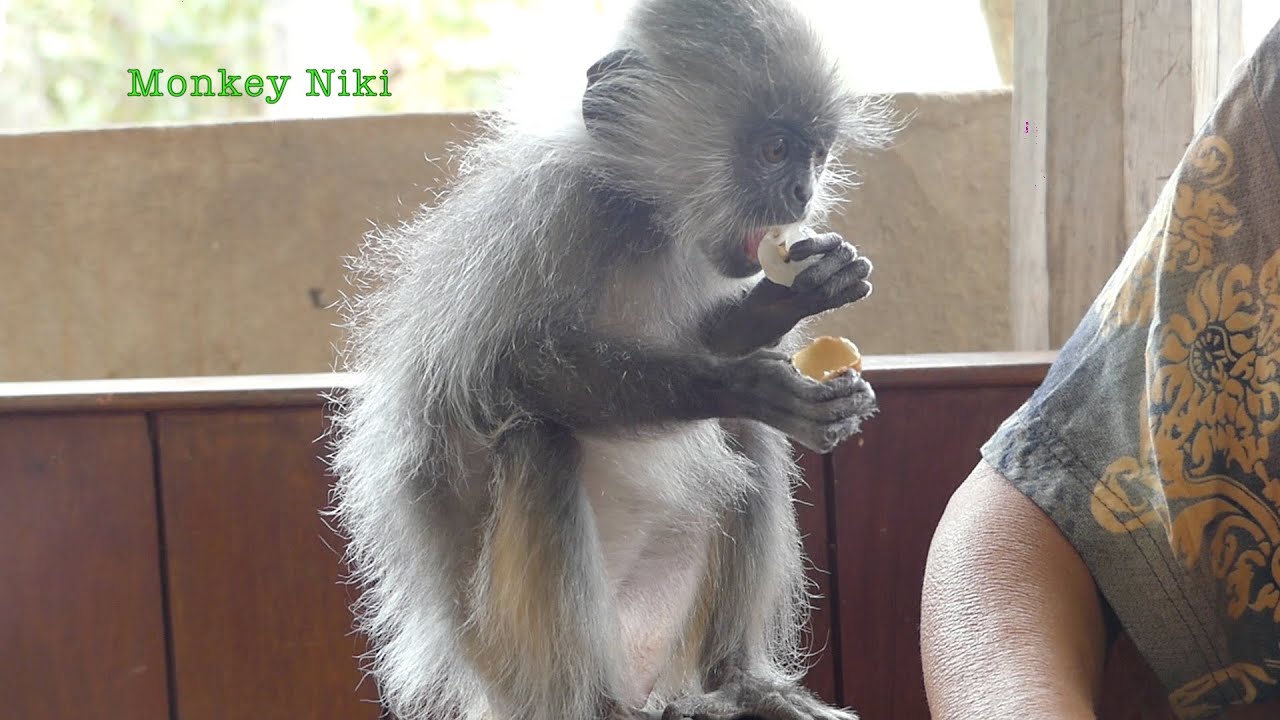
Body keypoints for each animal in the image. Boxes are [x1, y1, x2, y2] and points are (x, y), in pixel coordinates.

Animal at [326, 1, 897, 719]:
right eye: (774, 150)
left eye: (817, 157)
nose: (801, 192)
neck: (645, 223)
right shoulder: (561, 215)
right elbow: (498, 373)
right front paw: (745, 383)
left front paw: (795, 296)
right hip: (506, 651)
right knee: (537, 440)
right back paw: (599, 703)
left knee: (743, 439)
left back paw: (742, 681)